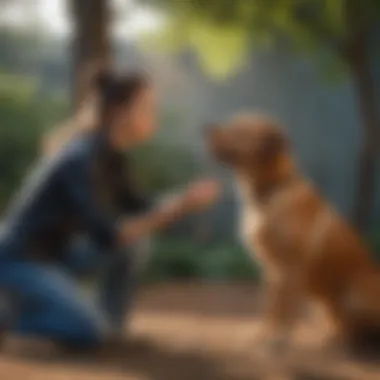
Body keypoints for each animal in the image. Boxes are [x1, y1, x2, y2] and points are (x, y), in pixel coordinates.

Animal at [206, 112, 380, 354]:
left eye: (240, 131)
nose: (206, 129)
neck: (270, 189)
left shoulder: (291, 269)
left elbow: (285, 310)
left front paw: (278, 339)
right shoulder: (272, 270)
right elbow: (271, 308)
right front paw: (262, 336)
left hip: (355, 291)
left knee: (359, 329)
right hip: (321, 304)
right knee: (342, 326)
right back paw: (333, 338)